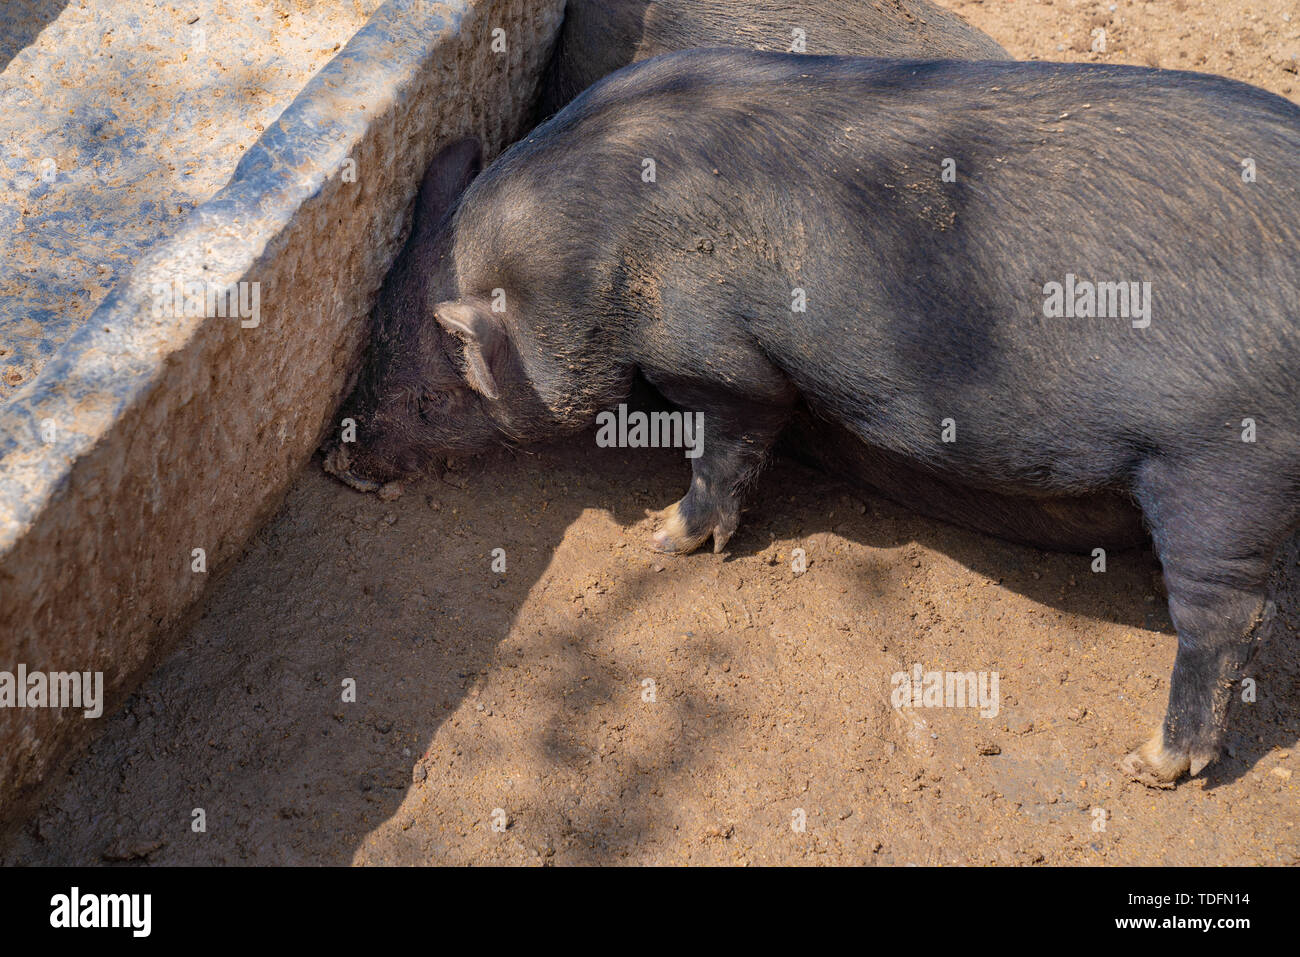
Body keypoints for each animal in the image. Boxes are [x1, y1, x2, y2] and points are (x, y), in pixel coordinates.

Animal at [327, 50, 1300, 786]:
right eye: (368, 346)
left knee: (1228, 618)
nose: (338, 464)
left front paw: (661, 539)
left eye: (432, 397)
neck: (590, 263)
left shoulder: (722, 356)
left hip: (1220, 460)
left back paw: (1149, 765)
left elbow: (729, 444)